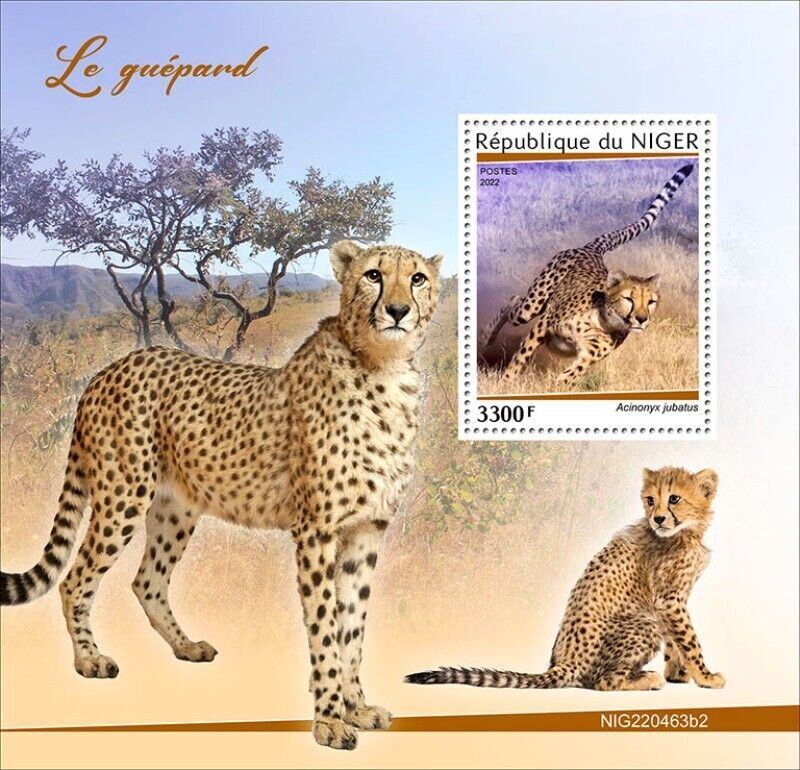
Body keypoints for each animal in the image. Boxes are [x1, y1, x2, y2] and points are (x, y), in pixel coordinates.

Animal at [0, 240, 442, 751]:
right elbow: (326, 628)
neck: (382, 368)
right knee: (76, 578)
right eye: (373, 275)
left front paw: (356, 706)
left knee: (147, 581)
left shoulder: (367, 530)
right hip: (123, 495)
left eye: (417, 279)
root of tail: (108, 369)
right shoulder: (316, 531)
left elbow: (353, 624)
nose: (398, 310)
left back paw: (186, 646)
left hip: (175, 509)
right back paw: (90, 659)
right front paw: (331, 720)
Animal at [406, 466, 725, 692]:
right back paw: (647, 679)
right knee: (603, 681)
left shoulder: (669, 601)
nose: (658, 518)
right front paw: (706, 676)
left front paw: (679, 674)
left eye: (674, 499)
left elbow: (676, 642)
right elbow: (689, 640)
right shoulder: (668, 601)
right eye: (650, 500)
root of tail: (566, 661)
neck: (685, 532)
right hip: (642, 624)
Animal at [479, 164, 693, 385]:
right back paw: (486, 336)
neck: (602, 321)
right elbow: (521, 357)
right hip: (532, 306)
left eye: (651, 302)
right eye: (628, 299)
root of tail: (592, 249)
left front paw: (558, 385)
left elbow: (571, 374)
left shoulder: (589, 355)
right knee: (513, 302)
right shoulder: (543, 325)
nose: (642, 319)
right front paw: (505, 383)